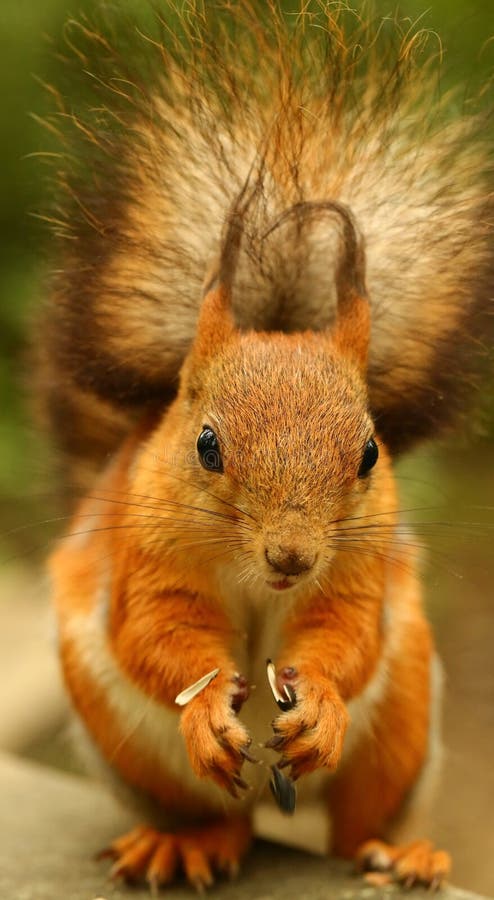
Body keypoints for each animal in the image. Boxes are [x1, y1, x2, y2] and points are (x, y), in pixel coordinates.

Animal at [40, 1, 493, 892]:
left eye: (369, 454)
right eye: (206, 445)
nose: (291, 555)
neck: (253, 571)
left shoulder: (356, 566)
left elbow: (342, 636)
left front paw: (318, 695)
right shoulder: (144, 554)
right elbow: (156, 635)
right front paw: (208, 699)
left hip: (402, 724)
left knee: (361, 825)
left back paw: (403, 852)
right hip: (129, 749)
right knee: (223, 821)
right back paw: (184, 841)